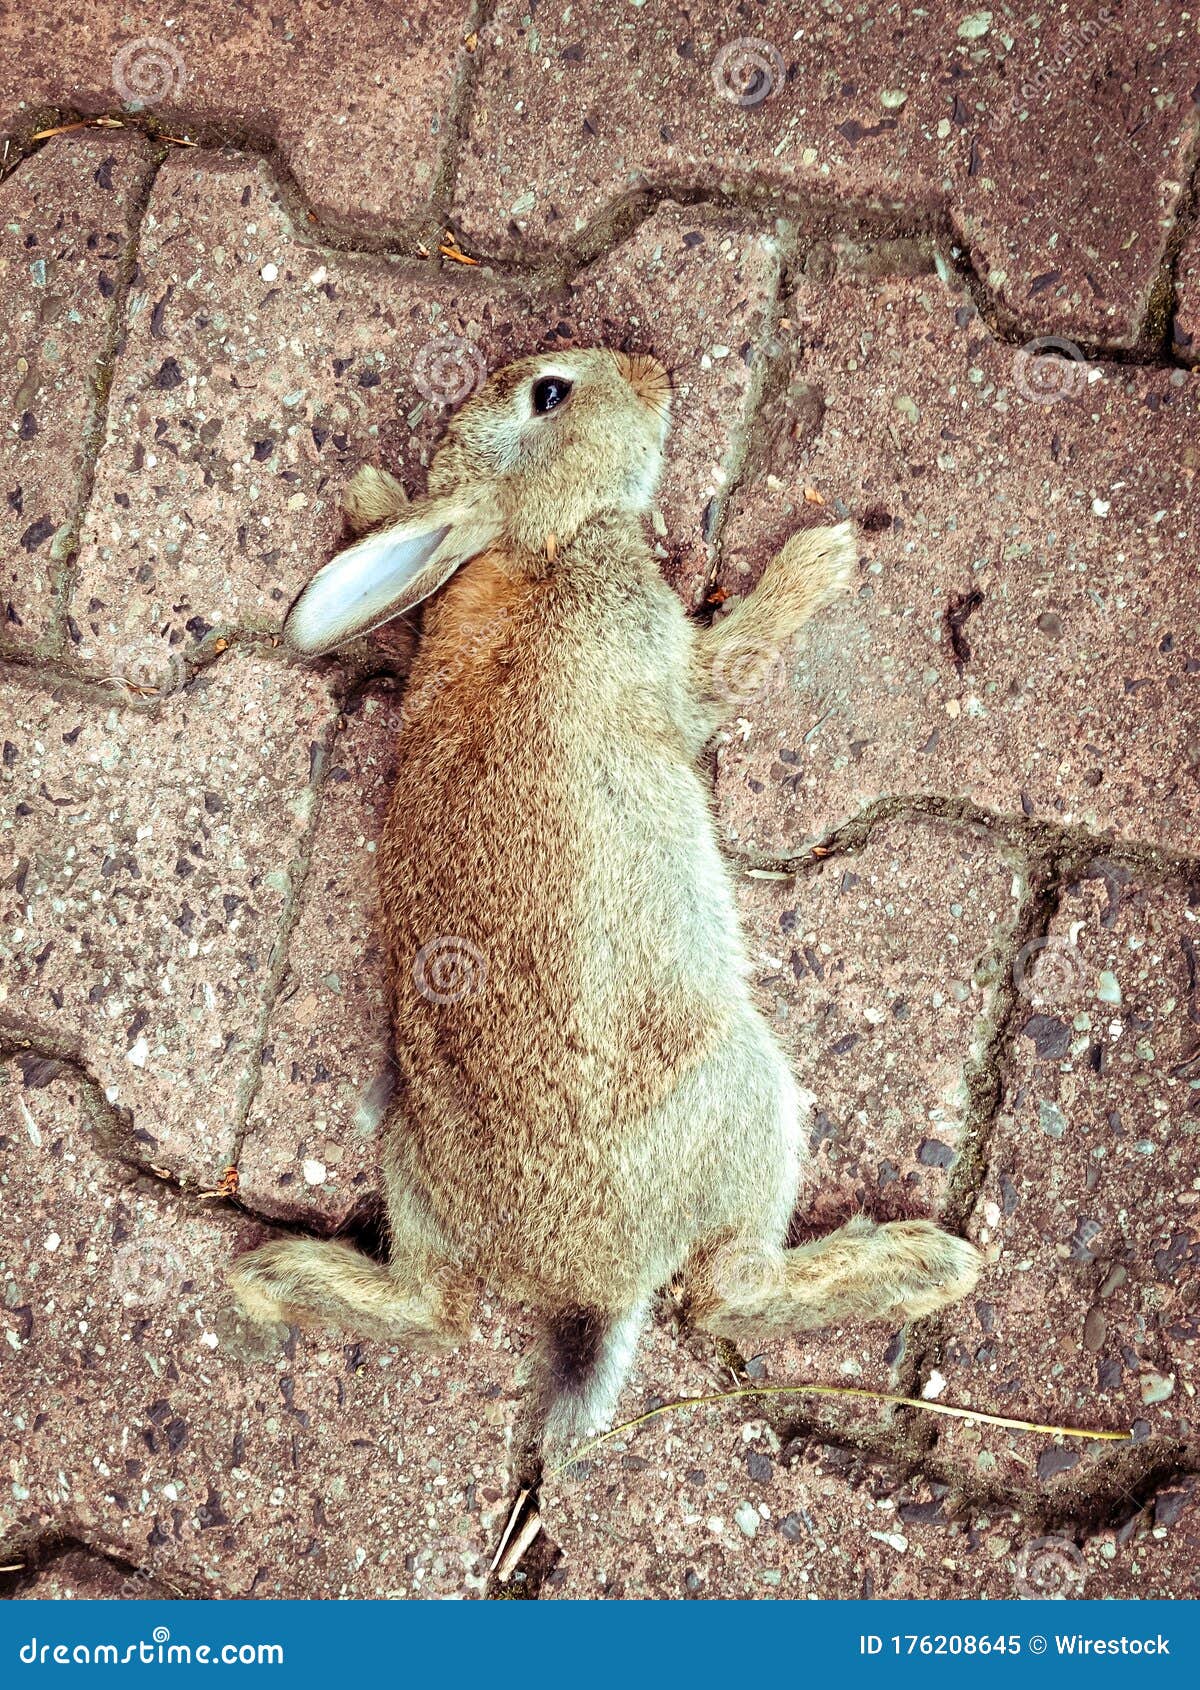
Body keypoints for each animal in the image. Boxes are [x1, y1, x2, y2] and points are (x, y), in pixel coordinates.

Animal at [228, 347, 982, 1456]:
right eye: (552, 392)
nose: (652, 368)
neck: (534, 540)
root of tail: (594, 1278)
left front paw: (369, 496)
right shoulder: (676, 665)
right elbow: (730, 656)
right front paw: (821, 558)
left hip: (413, 1159)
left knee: (438, 1308)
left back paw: (269, 1277)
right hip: (747, 1093)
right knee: (726, 1295)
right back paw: (929, 1264)